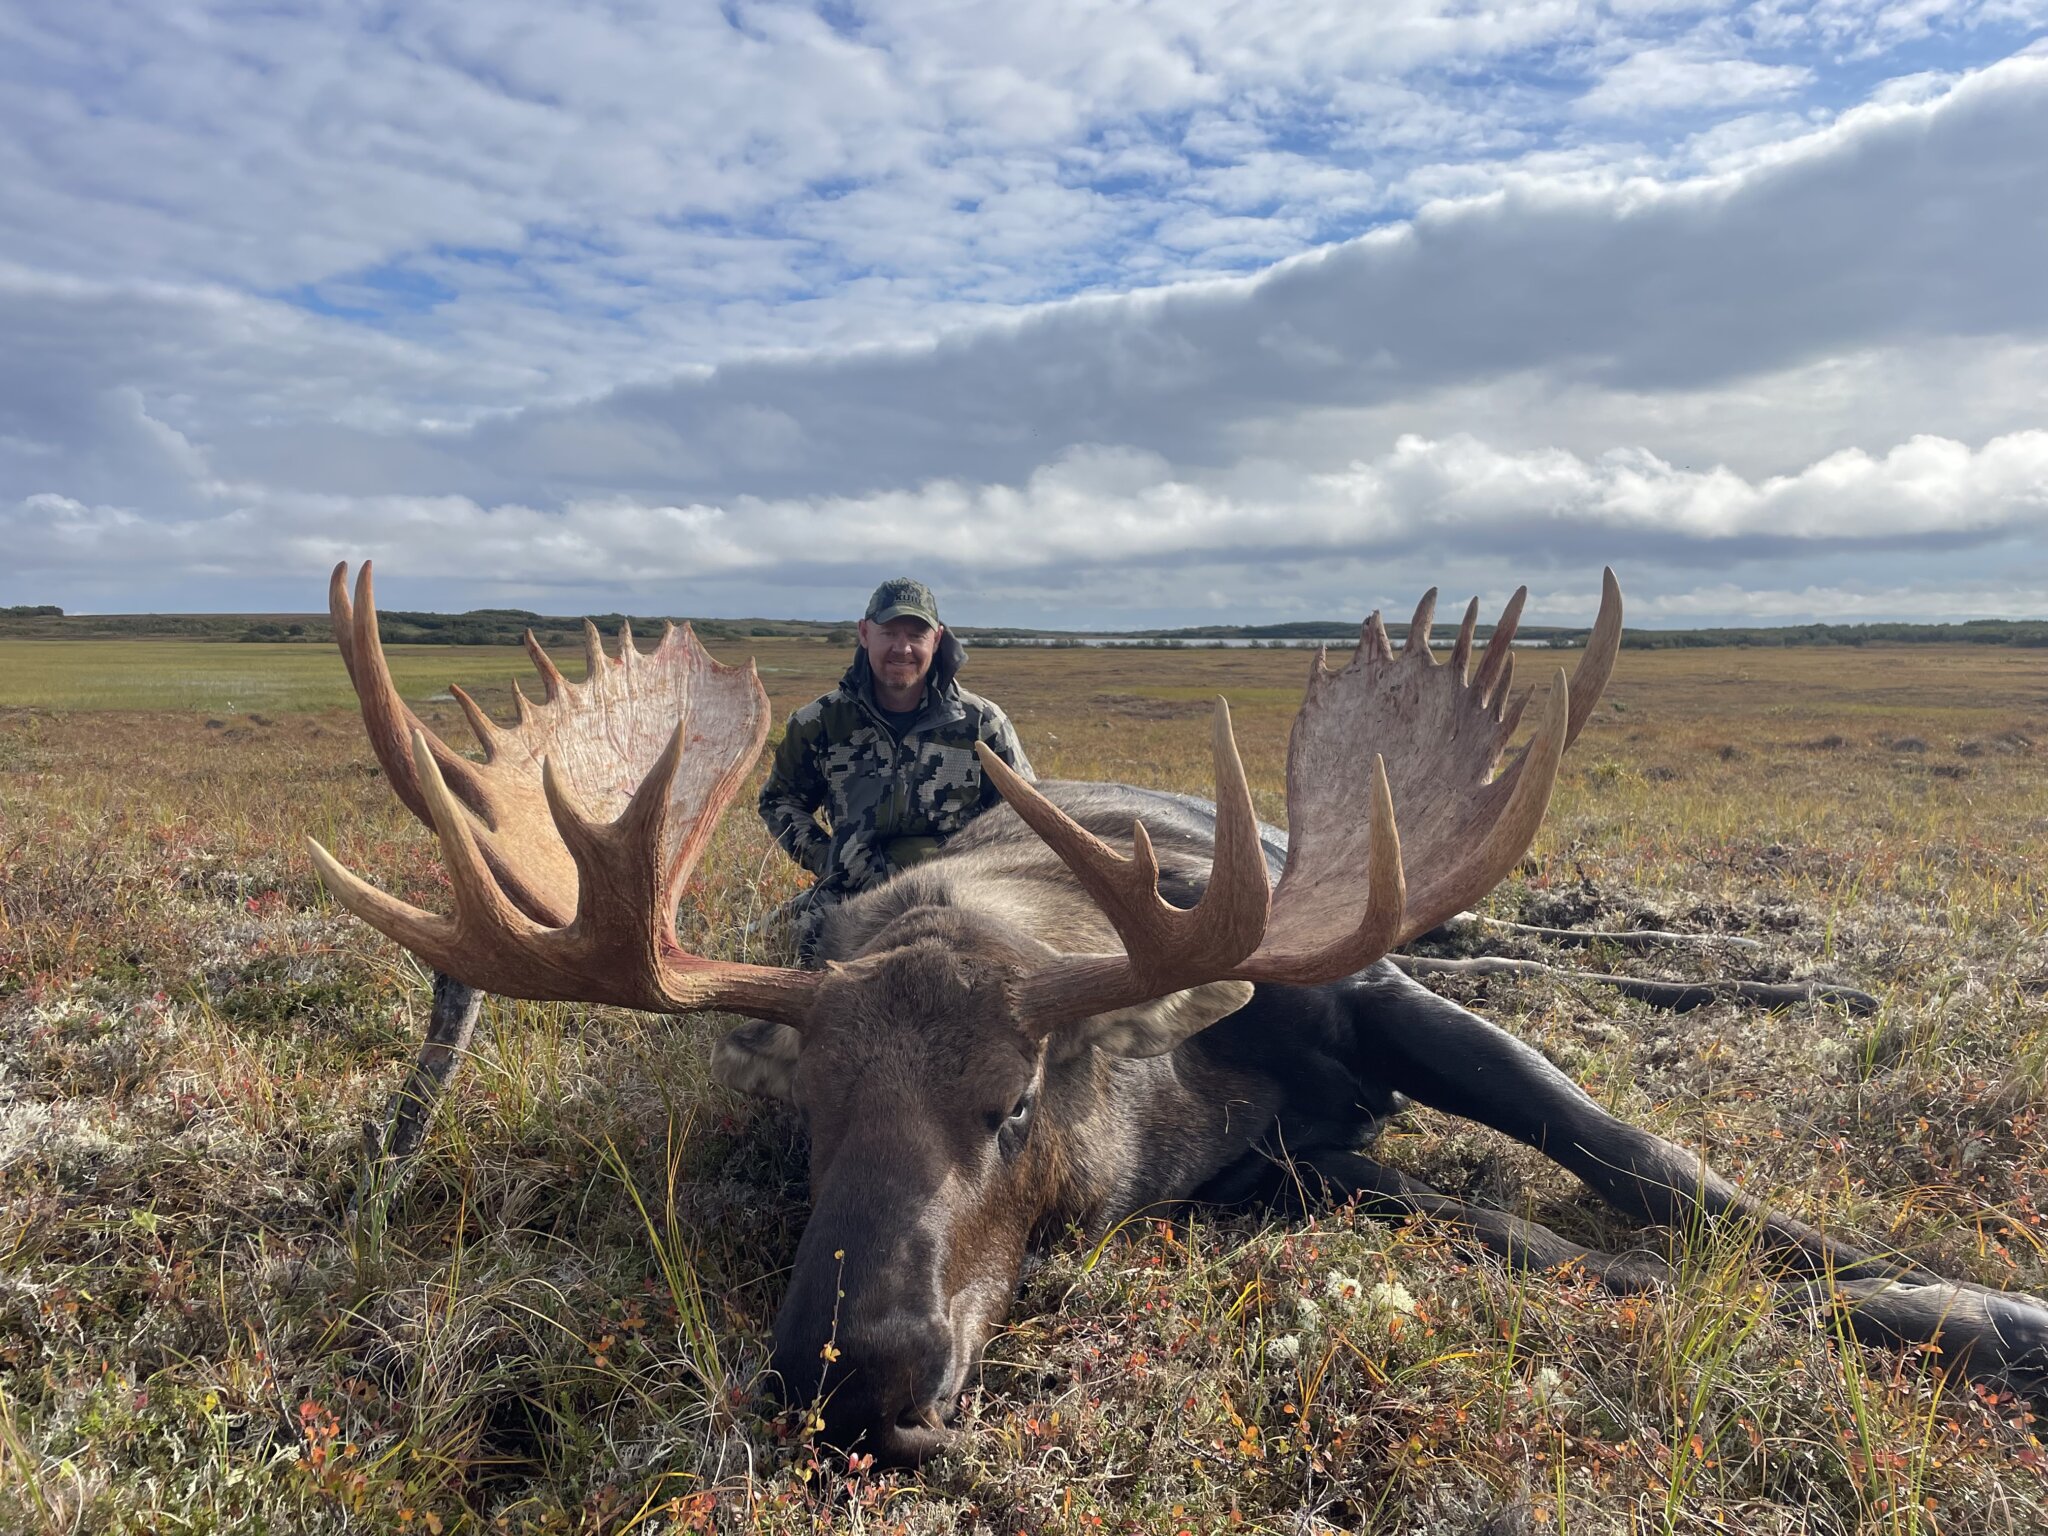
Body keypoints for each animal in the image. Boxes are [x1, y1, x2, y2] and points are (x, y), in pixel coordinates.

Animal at [310, 561, 2048, 1466]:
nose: (846, 1376)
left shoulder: (1371, 994)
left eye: (1016, 1097)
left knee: (1534, 945)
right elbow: (1542, 1239)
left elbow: (1644, 1159)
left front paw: (1986, 1309)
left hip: (1402, 901)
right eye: (806, 1113)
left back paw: (1809, 973)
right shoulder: (1289, 1175)